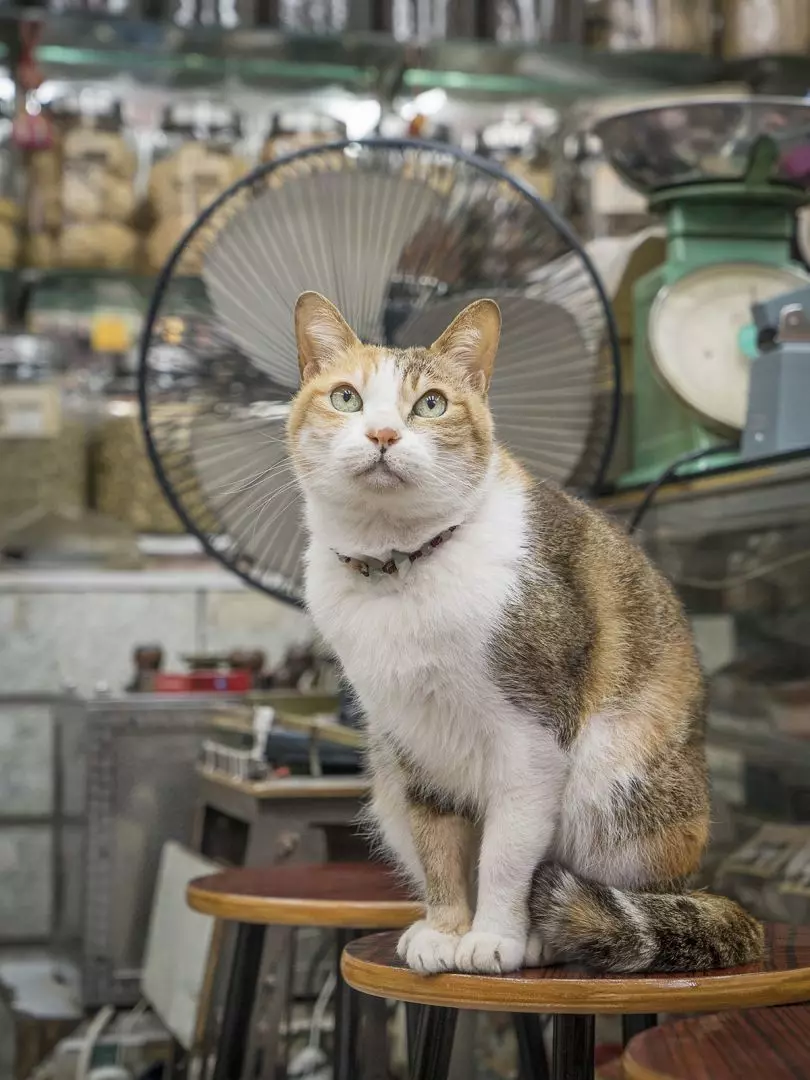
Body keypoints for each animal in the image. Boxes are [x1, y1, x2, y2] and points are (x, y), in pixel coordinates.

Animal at [289, 289, 764, 980]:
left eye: (431, 403)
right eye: (346, 397)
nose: (382, 434)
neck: (403, 569)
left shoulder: (533, 737)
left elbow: (507, 854)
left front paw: (493, 937)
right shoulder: (412, 742)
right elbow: (439, 845)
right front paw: (447, 929)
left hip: (613, 786)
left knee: (613, 898)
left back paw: (549, 936)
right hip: (385, 777)